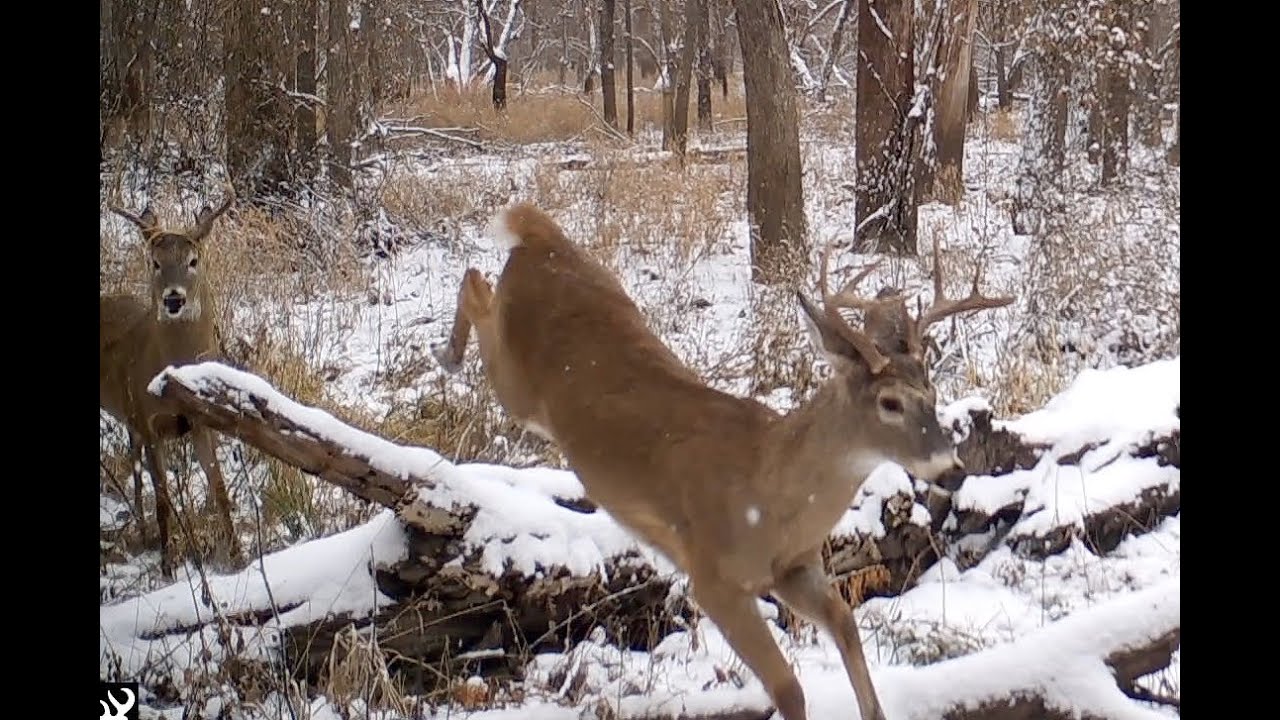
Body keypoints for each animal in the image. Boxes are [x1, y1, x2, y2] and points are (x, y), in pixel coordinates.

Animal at [100, 193, 242, 579]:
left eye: (193, 260)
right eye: (154, 262)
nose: (174, 299)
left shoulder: (200, 422)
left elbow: (219, 486)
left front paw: (240, 556)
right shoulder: (151, 425)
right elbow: (163, 496)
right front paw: (167, 566)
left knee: (132, 463)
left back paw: (140, 527)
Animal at [430, 202, 1012, 720]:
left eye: (932, 393)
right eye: (889, 403)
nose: (952, 470)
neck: (768, 491)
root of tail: (539, 238)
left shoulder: (796, 566)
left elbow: (846, 623)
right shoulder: (713, 578)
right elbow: (788, 690)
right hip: (517, 388)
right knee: (475, 282)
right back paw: (448, 354)